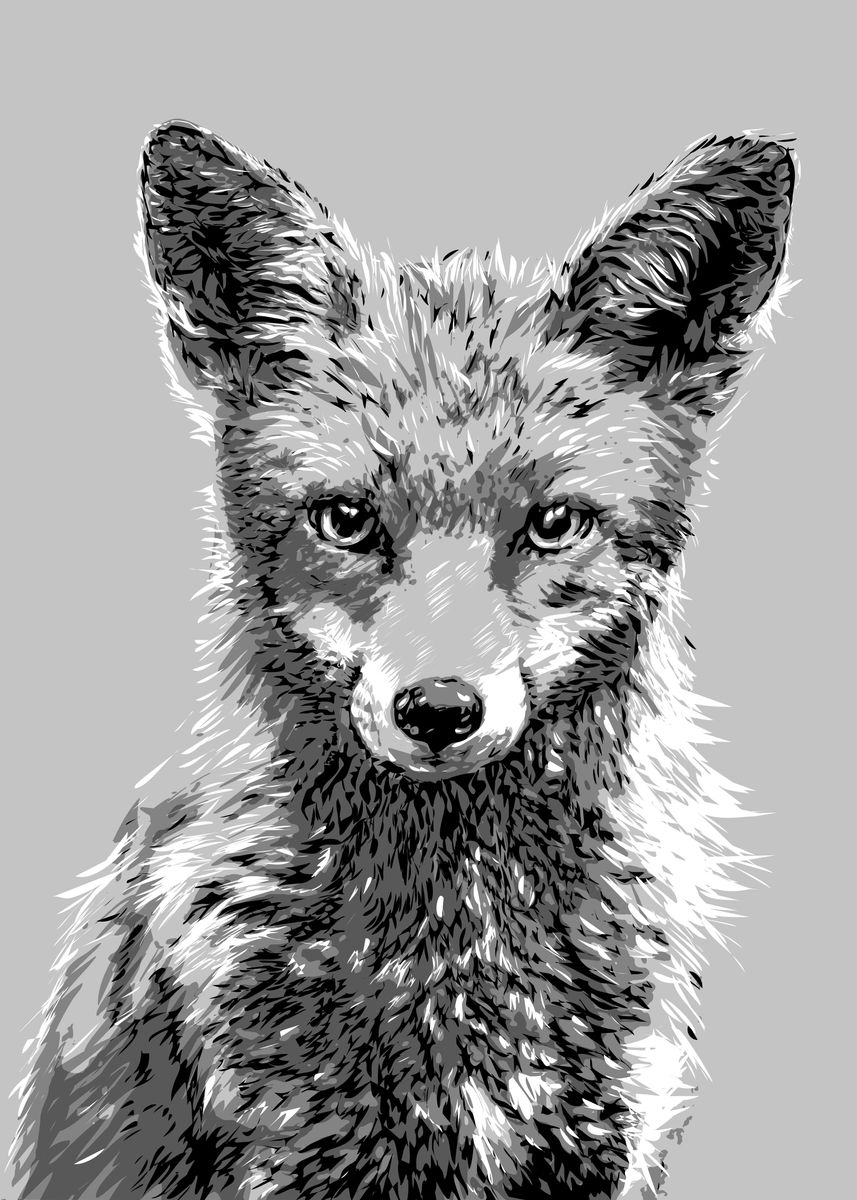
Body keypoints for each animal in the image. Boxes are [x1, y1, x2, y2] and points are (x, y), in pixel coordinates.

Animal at [10, 121, 795, 1200]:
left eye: (554, 524)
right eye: (345, 519)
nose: (438, 709)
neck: (455, 951)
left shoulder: (606, 1140)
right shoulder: (287, 1147)